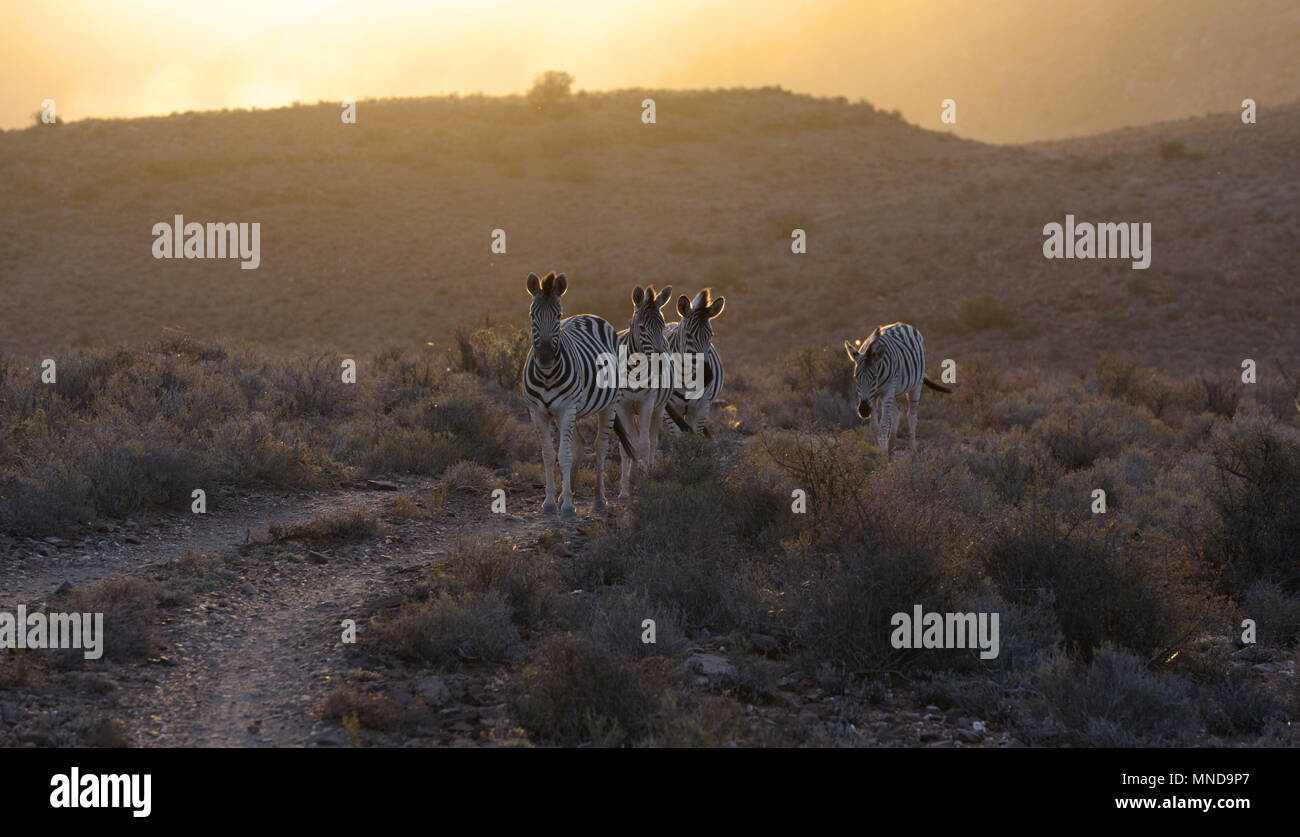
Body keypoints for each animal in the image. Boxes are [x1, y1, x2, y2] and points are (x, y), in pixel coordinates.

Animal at [522, 271, 635, 518]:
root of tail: (589, 315)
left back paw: (599, 499)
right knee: (579, 444)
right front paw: (550, 502)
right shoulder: (537, 411)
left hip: (608, 405)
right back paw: (568, 492)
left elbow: (563, 455)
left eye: (558, 315)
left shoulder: (566, 408)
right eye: (532, 314)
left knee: (600, 447)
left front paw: (566, 506)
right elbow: (548, 455)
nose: (545, 356)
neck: (546, 374)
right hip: (573, 411)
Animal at [663, 288, 725, 438]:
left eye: (711, 336)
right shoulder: (671, 410)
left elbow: (696, 436)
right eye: (688, 335)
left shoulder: (702, 407)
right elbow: (677, 437)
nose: (707, 376)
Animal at [843, 322, 952, 453]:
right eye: (856, 378)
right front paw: (878, 449)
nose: (863, 410)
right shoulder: (874, 396)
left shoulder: (886, 390)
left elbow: (884, 424)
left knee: (912, 416)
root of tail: (902, 324)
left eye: (874, 377)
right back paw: (891, 444)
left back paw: (912, 449)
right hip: (893, 392)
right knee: (897, 411)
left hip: (915, 385)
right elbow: (874, 426)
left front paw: (883, 453)